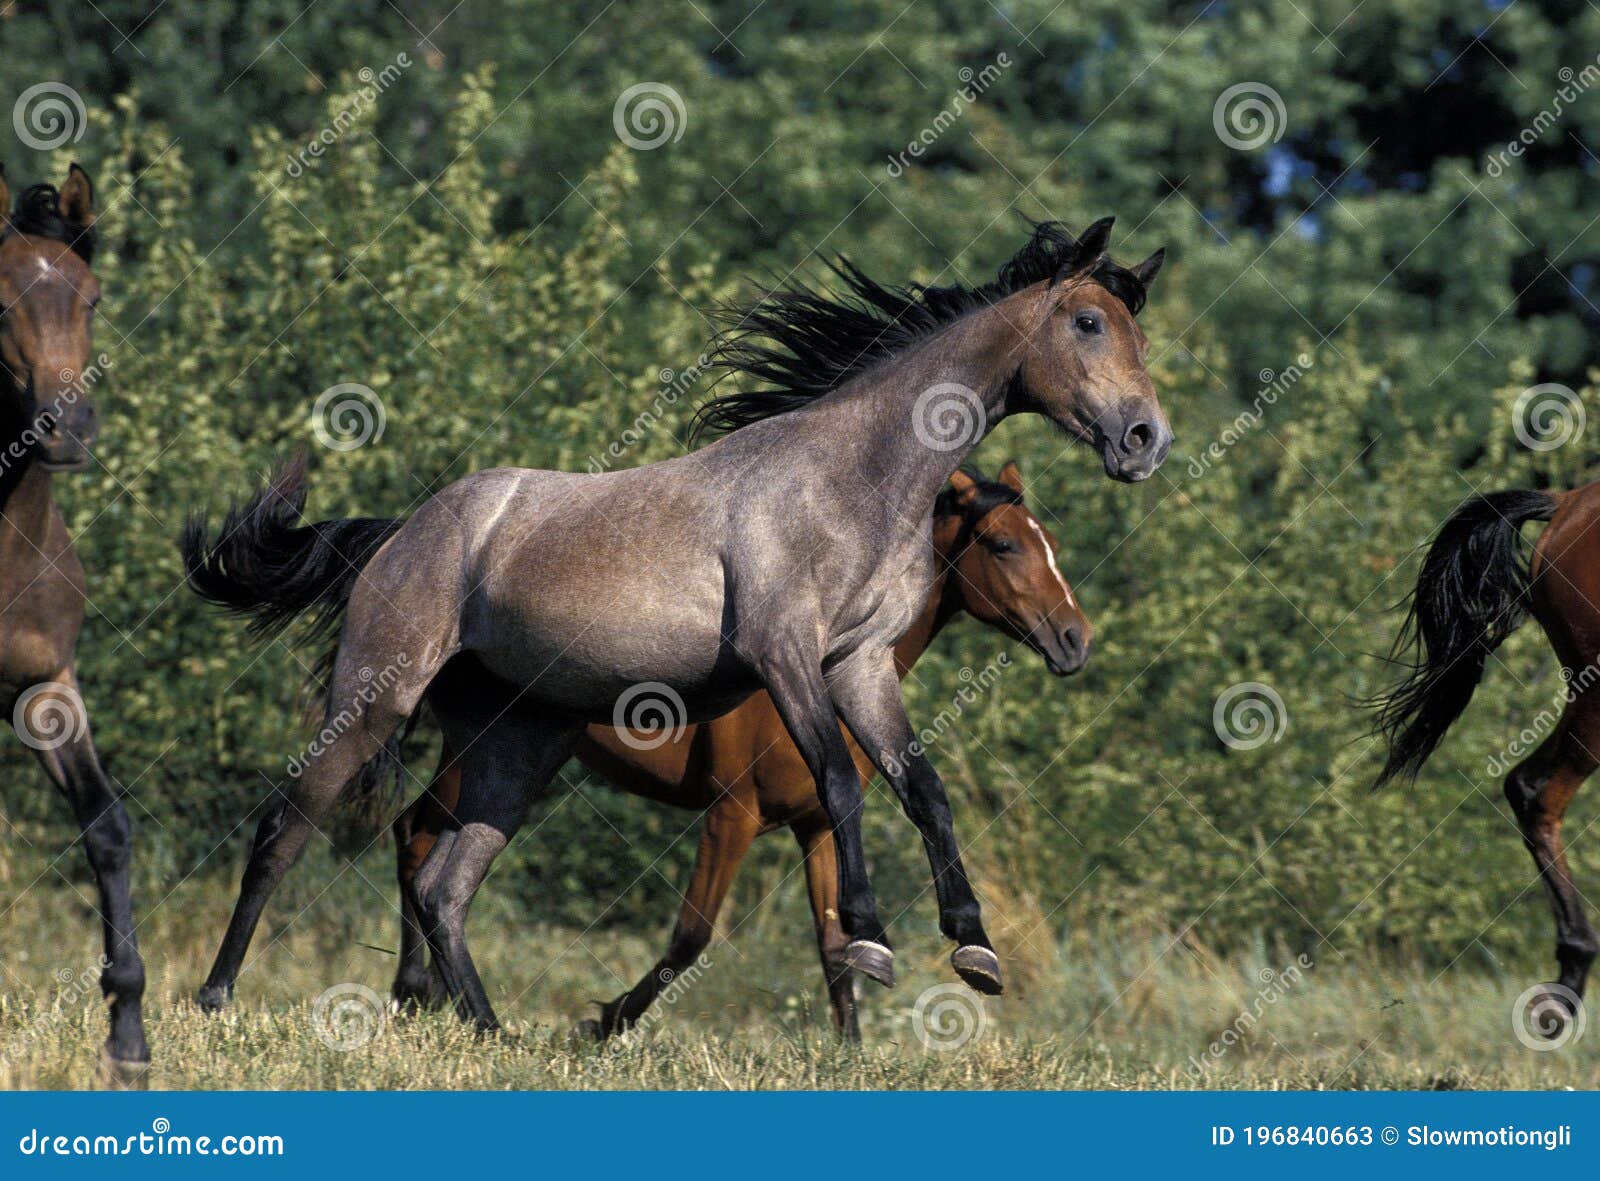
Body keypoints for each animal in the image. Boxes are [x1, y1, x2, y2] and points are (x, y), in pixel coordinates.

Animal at [388, 462, 1092, 1040]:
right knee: (415, 841)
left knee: (419, 845)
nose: (1074, 639)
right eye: (1003, 545)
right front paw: (603, 1023)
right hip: (475, 763)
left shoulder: (815, 827)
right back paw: (416, 995)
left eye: (1051, 545)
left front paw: (852, 1052)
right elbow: (690, 937)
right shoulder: (732, 816)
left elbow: (834, 945)